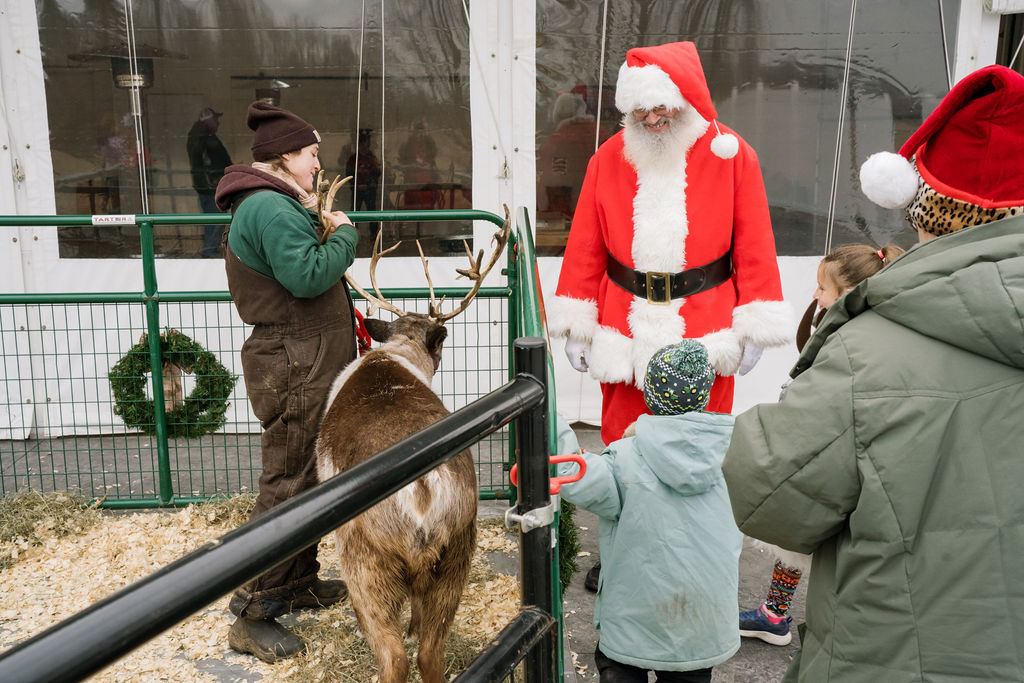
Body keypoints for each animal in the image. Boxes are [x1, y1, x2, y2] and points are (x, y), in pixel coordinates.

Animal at [314, 186, 510, 683]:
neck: (397, 354)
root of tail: (422, 499)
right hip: (457, 553)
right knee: (429, 653)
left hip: (365, 562)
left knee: (396, 659)